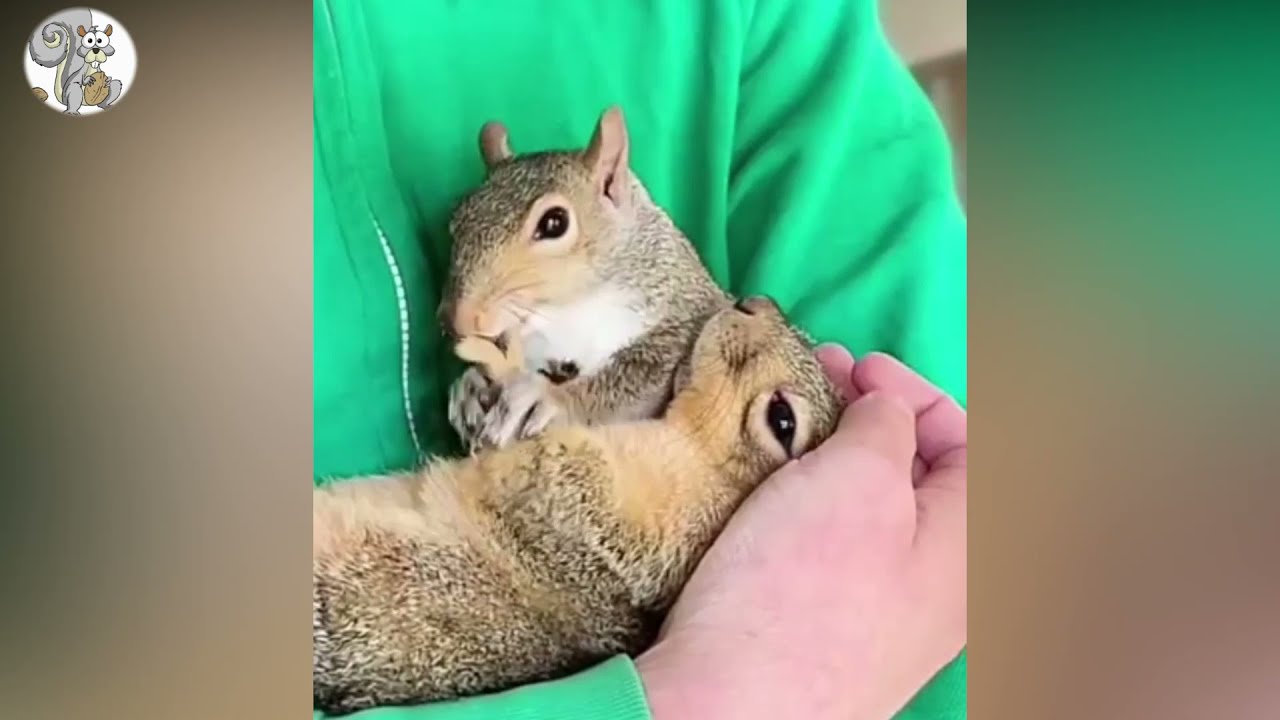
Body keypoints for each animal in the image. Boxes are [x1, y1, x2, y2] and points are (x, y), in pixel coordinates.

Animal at [313, 297, 846, 714]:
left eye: (783, 419)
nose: (757, 303)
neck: (696, 462)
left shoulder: (612, 512)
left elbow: (542, 468)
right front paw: (477, 393)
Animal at [440, 106, 733, 454]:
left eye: (554, 223)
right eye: (456, 219)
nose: (456, 320)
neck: (566, 312)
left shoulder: (679, 325)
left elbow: (637, 382)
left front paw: (546, 399)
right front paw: (469, 388)